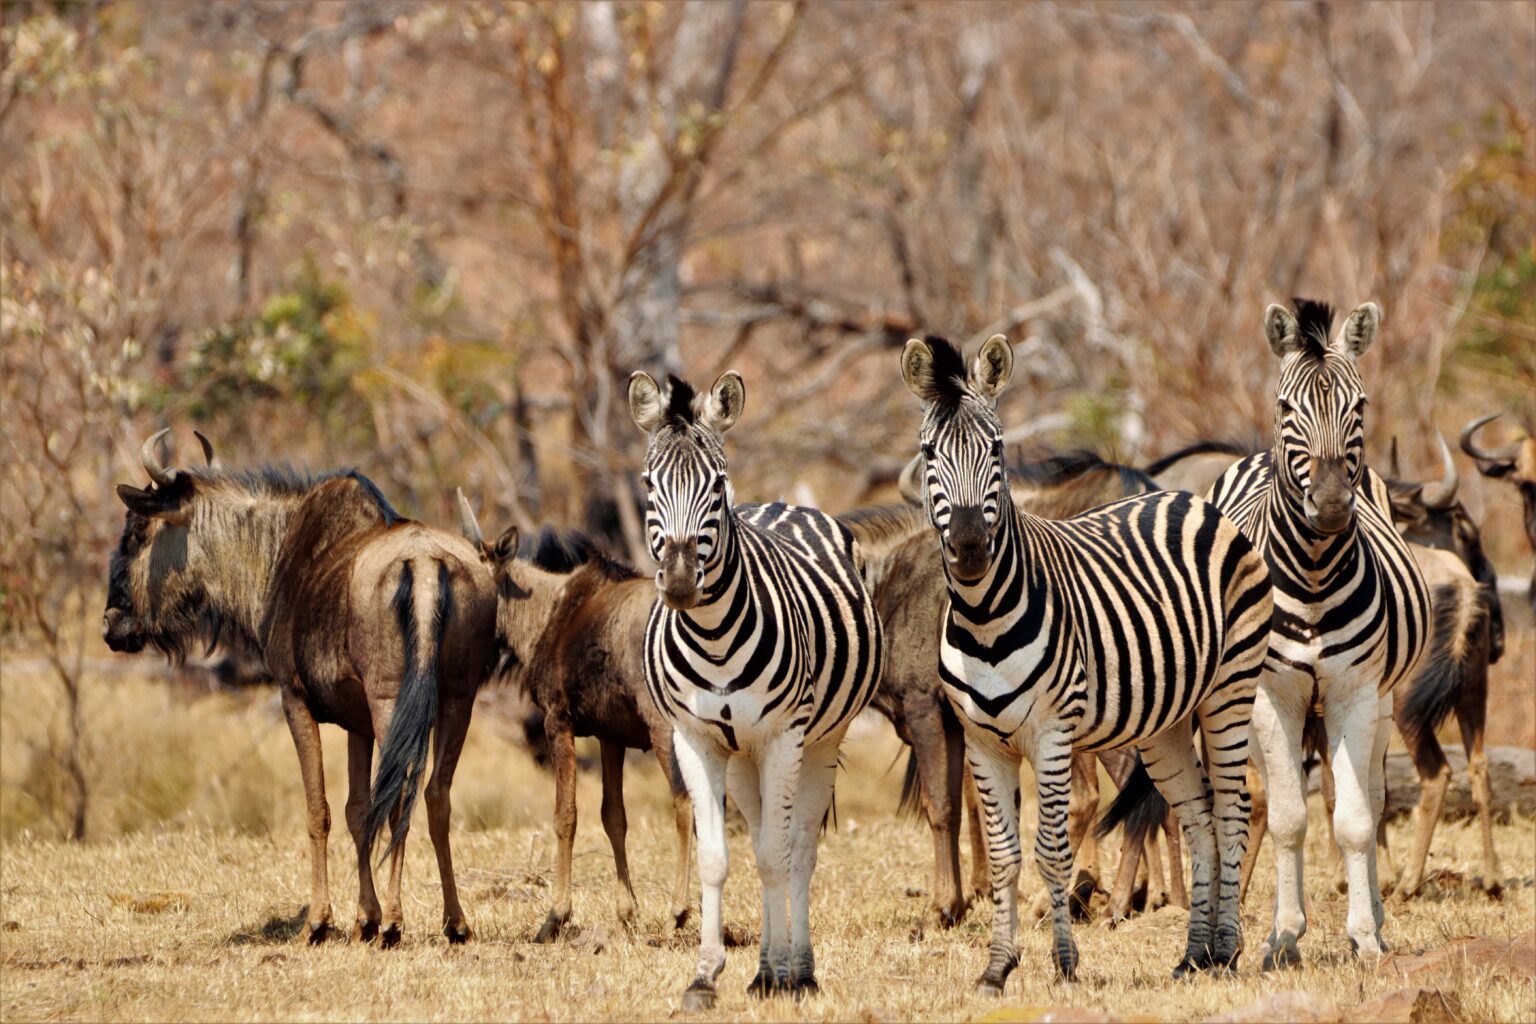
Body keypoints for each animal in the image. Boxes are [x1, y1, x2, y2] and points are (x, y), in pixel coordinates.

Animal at [627, 369, 882, 1010]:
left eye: (716, 485)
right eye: (648, 483)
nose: (681, 583)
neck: (714, 636)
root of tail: (784, 502)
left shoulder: (786, 735)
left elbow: (775, 856)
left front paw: (785, 976)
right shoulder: (694, 739)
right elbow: (716, 859)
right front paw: (705, 975)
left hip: (820, 741)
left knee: (798, 851)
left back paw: (797, 969)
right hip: (742, 755)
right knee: (767, 831)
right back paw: (768, 967)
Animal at [899, 334, 1273, 989]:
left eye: (996, 447)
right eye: (928, 452)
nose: (970, 548)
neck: (982, 616)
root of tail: (1190, 500)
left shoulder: (1050, 736)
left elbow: (1050, 850)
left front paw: (1065, 962)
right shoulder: (983, 742)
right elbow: (1005, 855)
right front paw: (997, 967)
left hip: (1230, 690)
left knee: (1230, 808)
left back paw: (1226, 950)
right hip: (1168, 723)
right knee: (1198, 816)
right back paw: (1194, 955)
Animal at [1206, 298, 1431, 968]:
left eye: (1359, 406)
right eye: (1287, 409)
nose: (1331, 506)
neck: (1309, 573)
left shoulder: (1355, 691)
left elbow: (1355, 820)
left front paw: (1364, 936)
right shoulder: (1270, 697)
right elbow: (1287, 819)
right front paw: (1283, 936)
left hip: (1381, 701)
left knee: (1372, 798)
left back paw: (1376, 919)